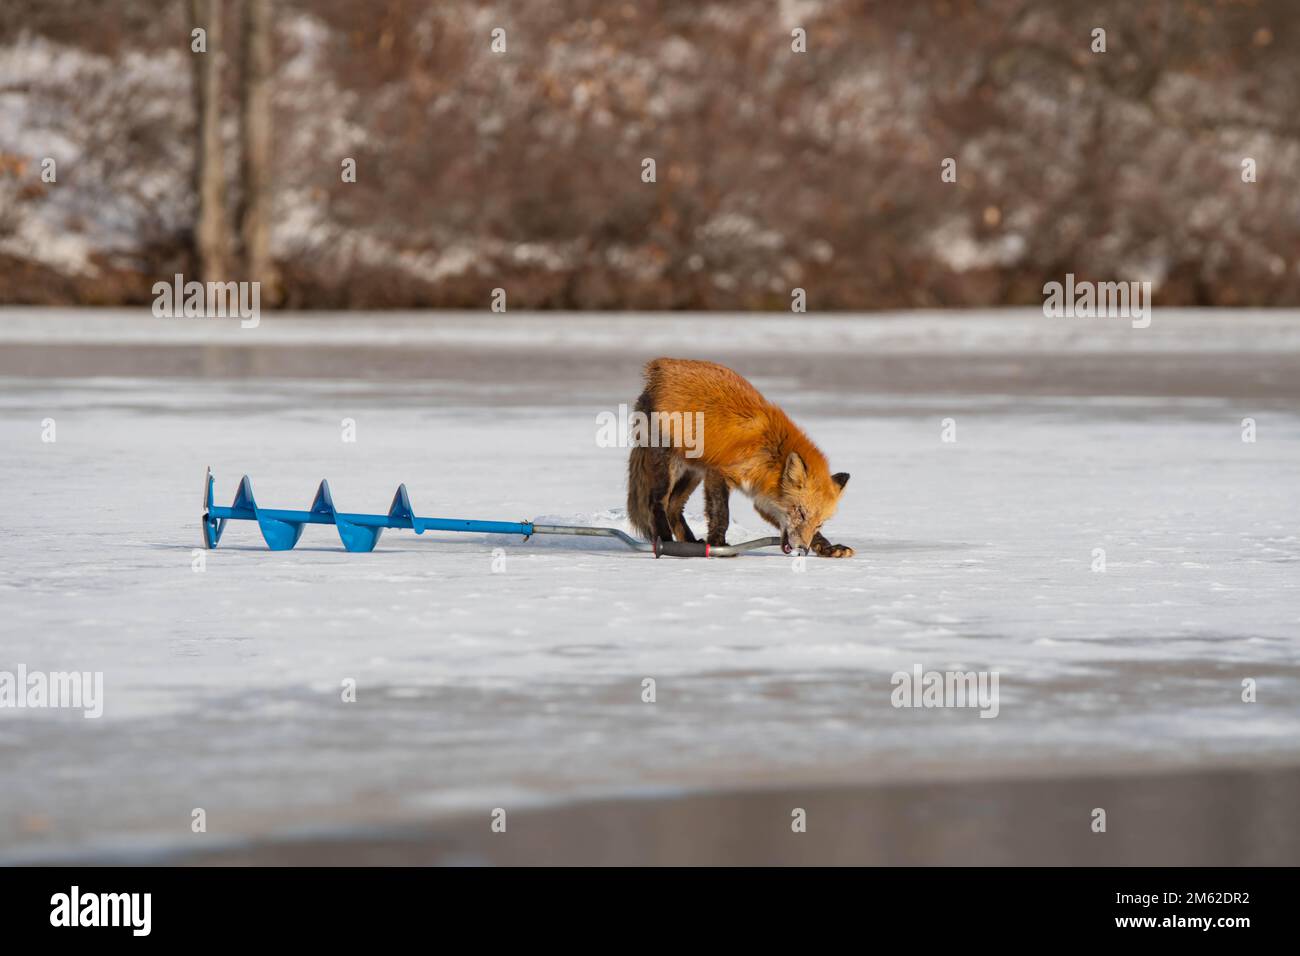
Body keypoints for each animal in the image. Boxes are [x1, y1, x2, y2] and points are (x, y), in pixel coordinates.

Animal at [627, 358, 853, 557]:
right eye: (801, 513)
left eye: (819, 523)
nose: (803, 550)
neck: (770, 454)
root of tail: (658, 369)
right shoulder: (719, 473)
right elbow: (722, 515)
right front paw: (718, 544)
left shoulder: (762, 496)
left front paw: (829, 548)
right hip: (669, 467)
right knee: (657, 503)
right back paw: (665, 542)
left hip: (693, 472)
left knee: (673, 507)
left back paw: (689, 542)